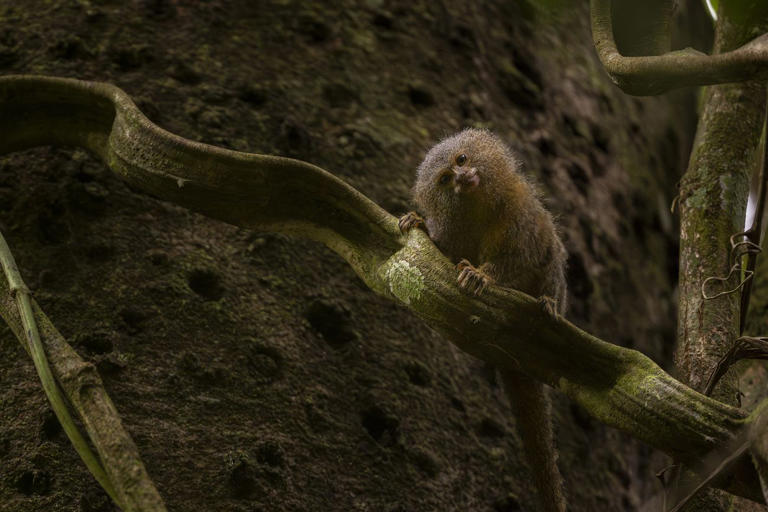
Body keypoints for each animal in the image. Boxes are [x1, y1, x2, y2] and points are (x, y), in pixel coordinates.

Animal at [399, 128, 567, 512]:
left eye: (462, 159)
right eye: (446, 181)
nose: (463, 177)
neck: (480, 209)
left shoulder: (520, 216)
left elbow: (521, 258)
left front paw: (481, 276)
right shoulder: (452, 231)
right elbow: (442, 248)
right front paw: (417, 221)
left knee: (551, 259)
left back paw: (549, 302)